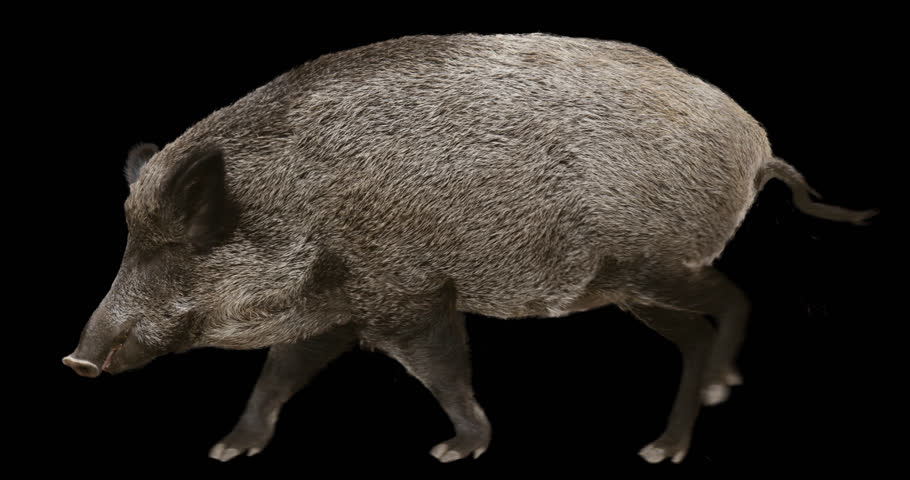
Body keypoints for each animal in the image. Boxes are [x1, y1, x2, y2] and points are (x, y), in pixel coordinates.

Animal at [62, 33, 876, 464]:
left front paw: (456, 451)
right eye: (131, 242)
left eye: (180, 246)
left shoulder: (413, 295)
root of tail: (760, 149)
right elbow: (277, 377)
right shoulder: (337, 312)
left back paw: (683, 428)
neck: (303, 206)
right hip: (628, 288)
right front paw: (227, 450)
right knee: (696, 333)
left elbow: (444, 372)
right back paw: (676, 432)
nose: (75, 360)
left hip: (651, 265)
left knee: (731, 301)